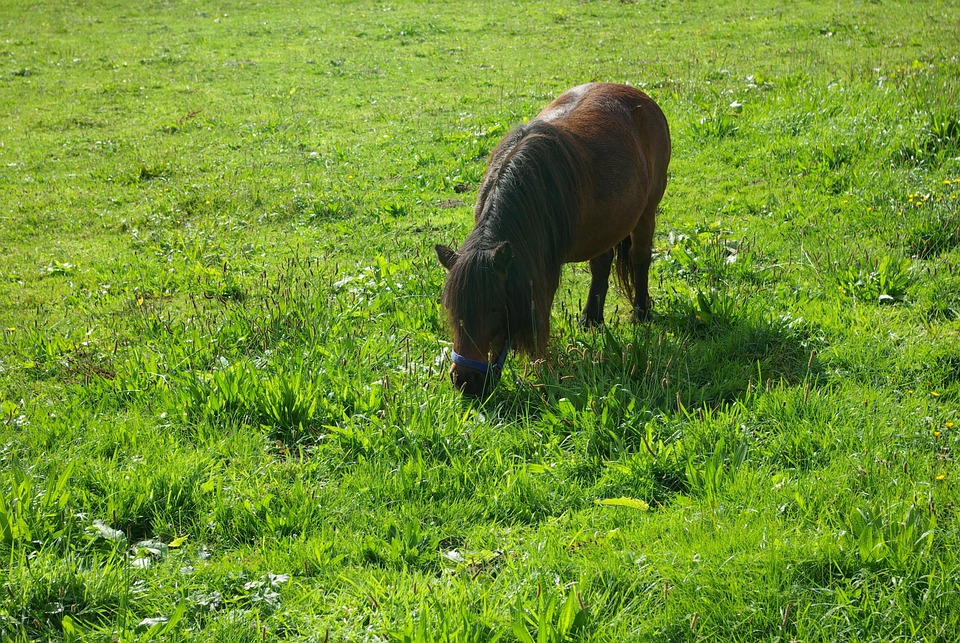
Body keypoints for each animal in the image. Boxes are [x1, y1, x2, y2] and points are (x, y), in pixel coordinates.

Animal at [435, 82, 671, 396]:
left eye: (494, 308)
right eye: (453, 309)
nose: (464, 381)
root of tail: (640, 97)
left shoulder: (544, 269)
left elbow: (540, 315)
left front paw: (540, 369)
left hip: (646, 212)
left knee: (640, 258)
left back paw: (641, 313)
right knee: (601, 265)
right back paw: (590, 319)